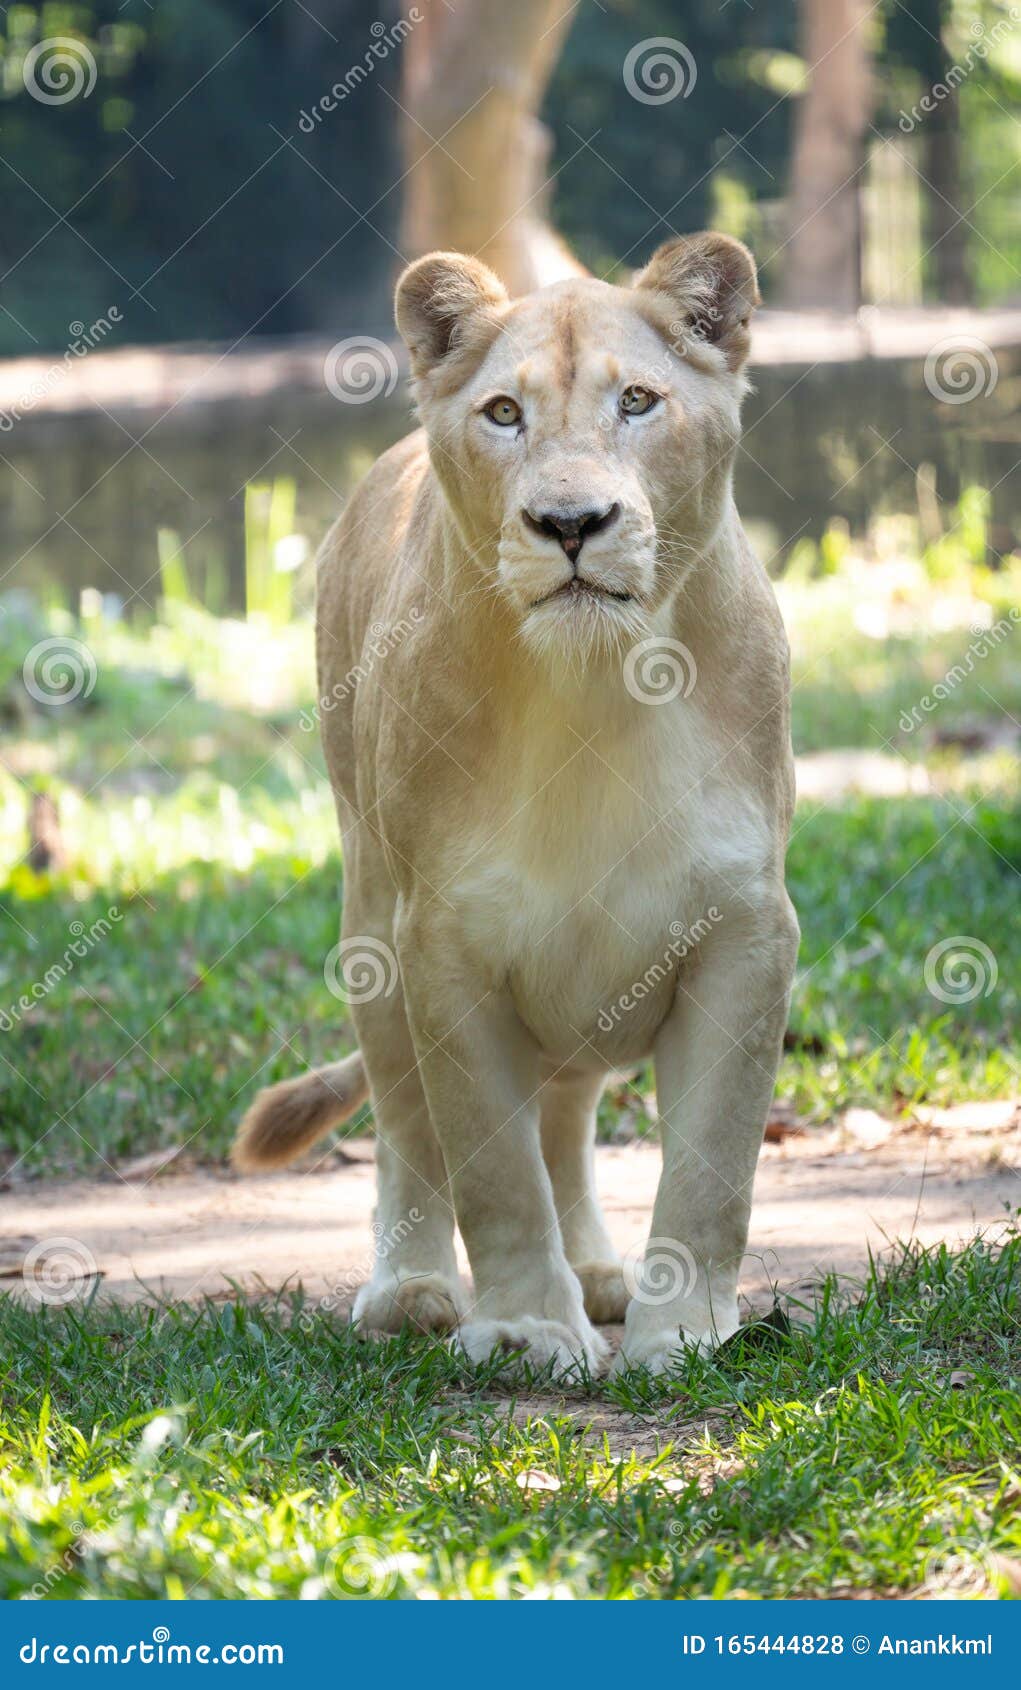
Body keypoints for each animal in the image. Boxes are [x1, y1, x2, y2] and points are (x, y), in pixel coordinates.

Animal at [232, 232, 799, 1376]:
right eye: (503, 414)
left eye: (637, 401)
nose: (570, 523)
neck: (595, 692)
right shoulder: (443, 942)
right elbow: (487, 1163)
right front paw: (532, 1334)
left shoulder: (744, 929)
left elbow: (710, 1166)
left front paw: (683, 1336)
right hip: (372, 927)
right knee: (408, 1127)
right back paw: (409, 1293)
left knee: (566, 1115)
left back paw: (600, 1274)